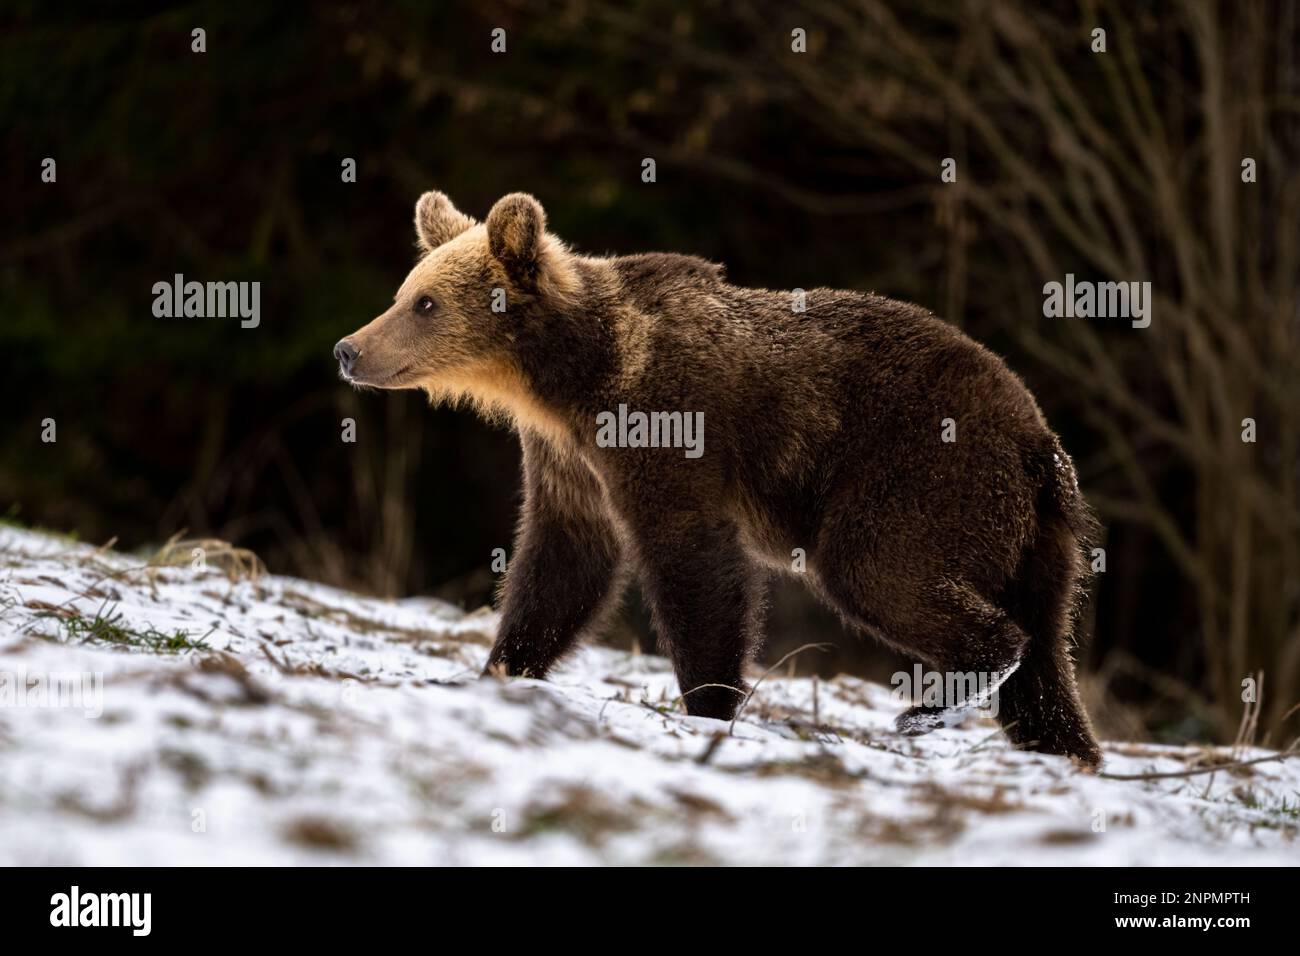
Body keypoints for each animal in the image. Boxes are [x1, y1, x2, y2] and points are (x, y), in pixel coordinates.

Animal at [334, 190, 1103, 768]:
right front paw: (501, 666)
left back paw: (931, 702)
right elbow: (561, 565)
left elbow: (694, 564)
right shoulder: (567, 460)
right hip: (1036, 539)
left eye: (425, 304)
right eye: (406, 292)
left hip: (921, 474)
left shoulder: (663, 424)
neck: (571, 377)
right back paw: (1064, 751)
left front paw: (708, 703)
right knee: (1048, 661)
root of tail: (1039, 440)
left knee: (882, 569)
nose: (348, 348)